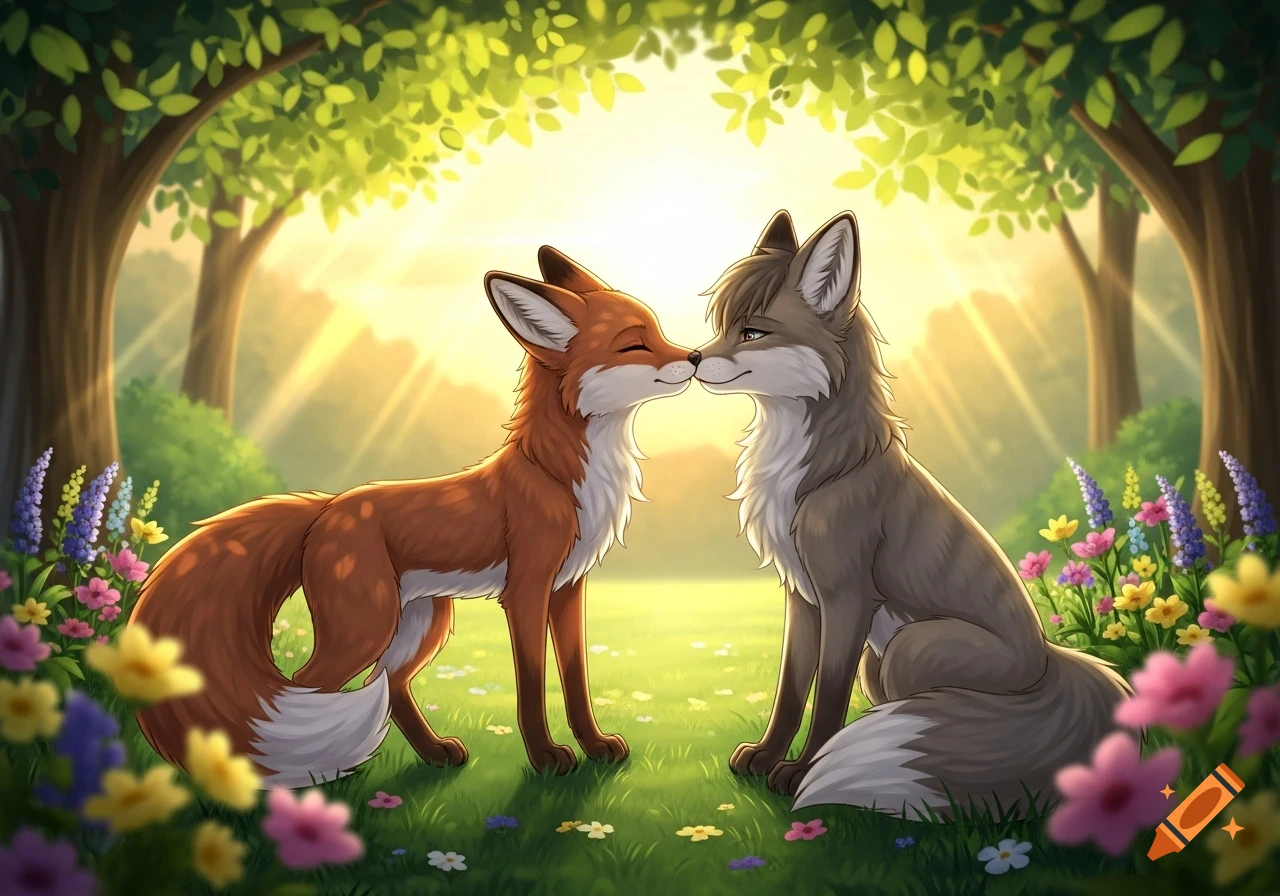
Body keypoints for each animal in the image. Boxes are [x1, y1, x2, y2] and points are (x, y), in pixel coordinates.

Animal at [130, 247, 700, 786]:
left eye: (658, 332)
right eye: (635, 344)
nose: (694, 356)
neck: (561, 476)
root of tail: (326, 507)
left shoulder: (566, 590)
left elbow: (576, 679)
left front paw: (595, 746)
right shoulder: (526, 591)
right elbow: (532, 684)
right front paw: (545, 758)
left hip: (421, 621)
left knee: (389, 686)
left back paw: (432, 754)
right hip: (366, 624)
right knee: (305, 689)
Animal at [693, 209, 1131, 819]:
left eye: (753, 333)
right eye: (719, 325)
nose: (690, 359)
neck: (814, 472)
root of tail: (1048, 660)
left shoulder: (848, 596)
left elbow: (828, 698)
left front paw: (801, 773)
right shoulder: (804, 597)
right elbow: (790, 690)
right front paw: (764, 757)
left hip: (904, 650)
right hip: (882, 666)